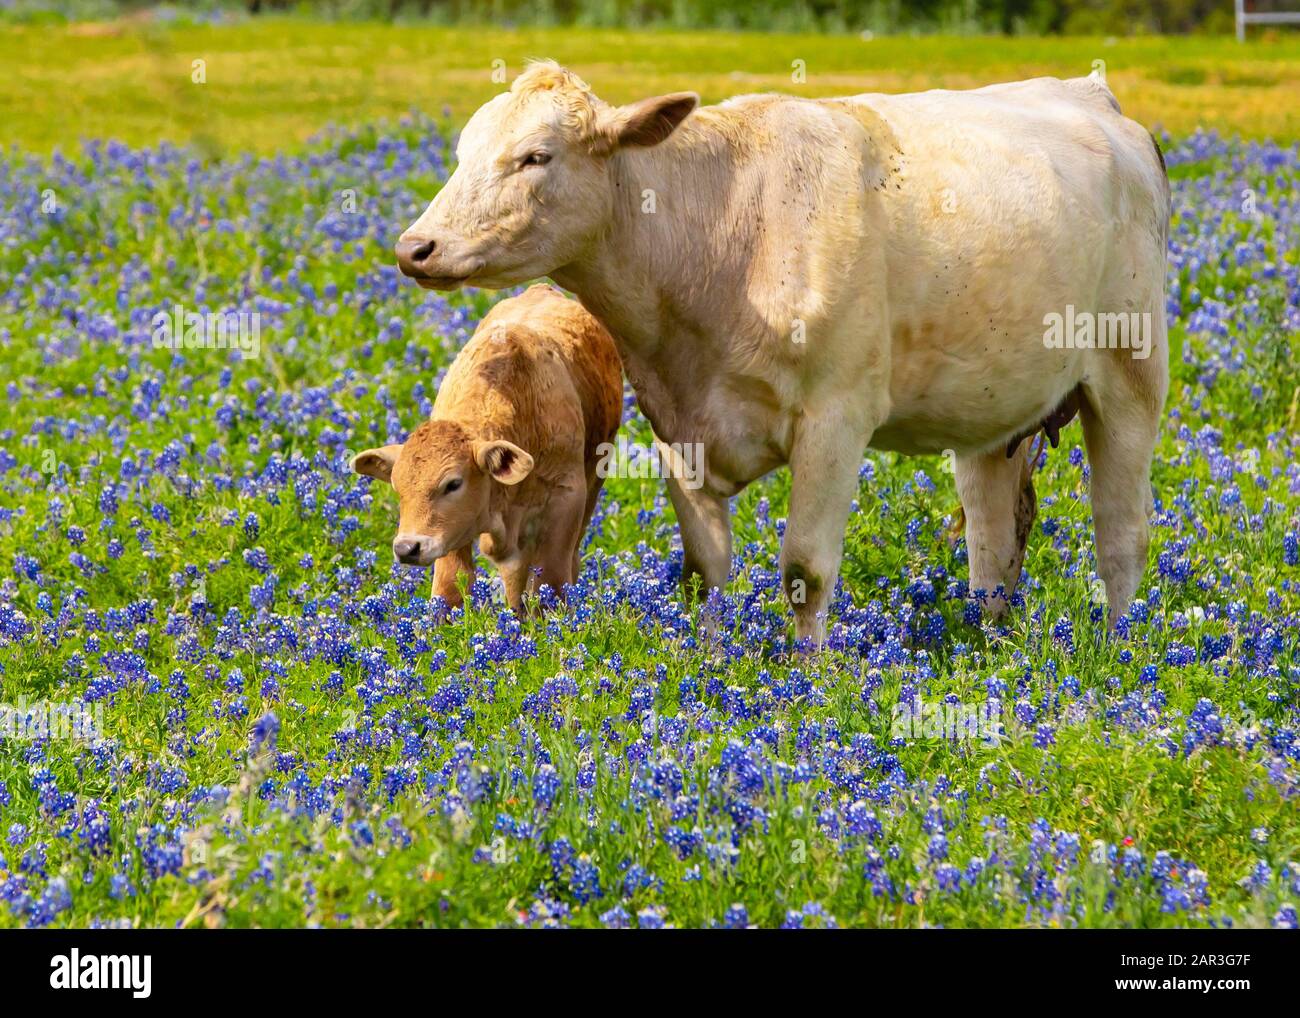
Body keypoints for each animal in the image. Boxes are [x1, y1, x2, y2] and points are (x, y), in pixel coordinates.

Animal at [351, 283, 622, 612]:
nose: (407, 548)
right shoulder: (455, 531)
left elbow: (553, 581)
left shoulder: (567, 498)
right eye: (398, 488)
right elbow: (451, 586)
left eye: (453, 484)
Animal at [394, 62, 1170, 646]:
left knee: (1121, 533)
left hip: (1131, 374)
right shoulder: (678, 428)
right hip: (990, 412)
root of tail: (1091, 95)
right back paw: (990, 642)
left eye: (536, 156)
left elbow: (805, 569)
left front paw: (810, 682)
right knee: (991, 536)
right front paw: (708, 664)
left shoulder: (836, 420)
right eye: (462, 155)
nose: (415, 247)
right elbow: (704, 569)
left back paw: (1115, 653)